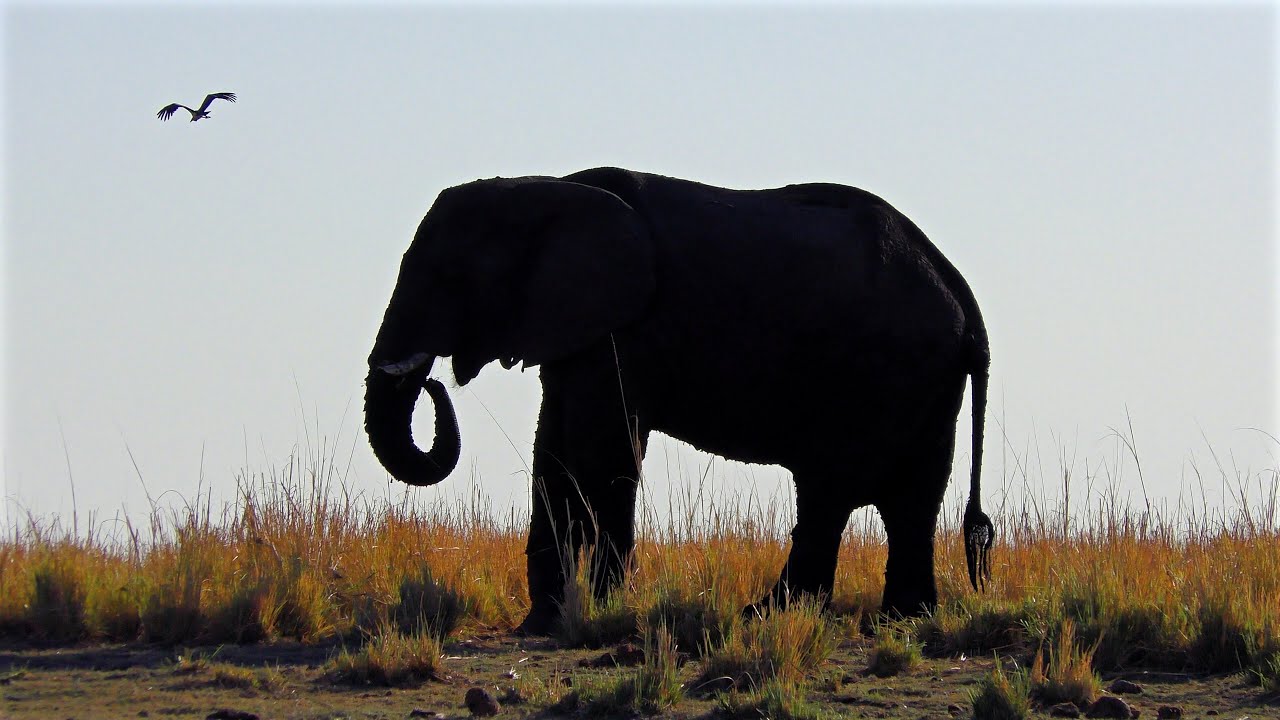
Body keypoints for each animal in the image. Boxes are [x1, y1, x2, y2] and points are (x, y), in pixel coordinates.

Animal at [364, 167, 994, 635]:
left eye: (447, 276)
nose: (431, 380)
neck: (546, 188)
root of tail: (962, 294)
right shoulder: (578, 334)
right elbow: (554, 452)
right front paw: (540, 625)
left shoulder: (625, 332)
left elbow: (601, 451)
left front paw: (603, 612)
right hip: (925, 382)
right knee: (909, 500)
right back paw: (899, 621)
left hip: (884, 372)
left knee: (830, 491)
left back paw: (768, 615)